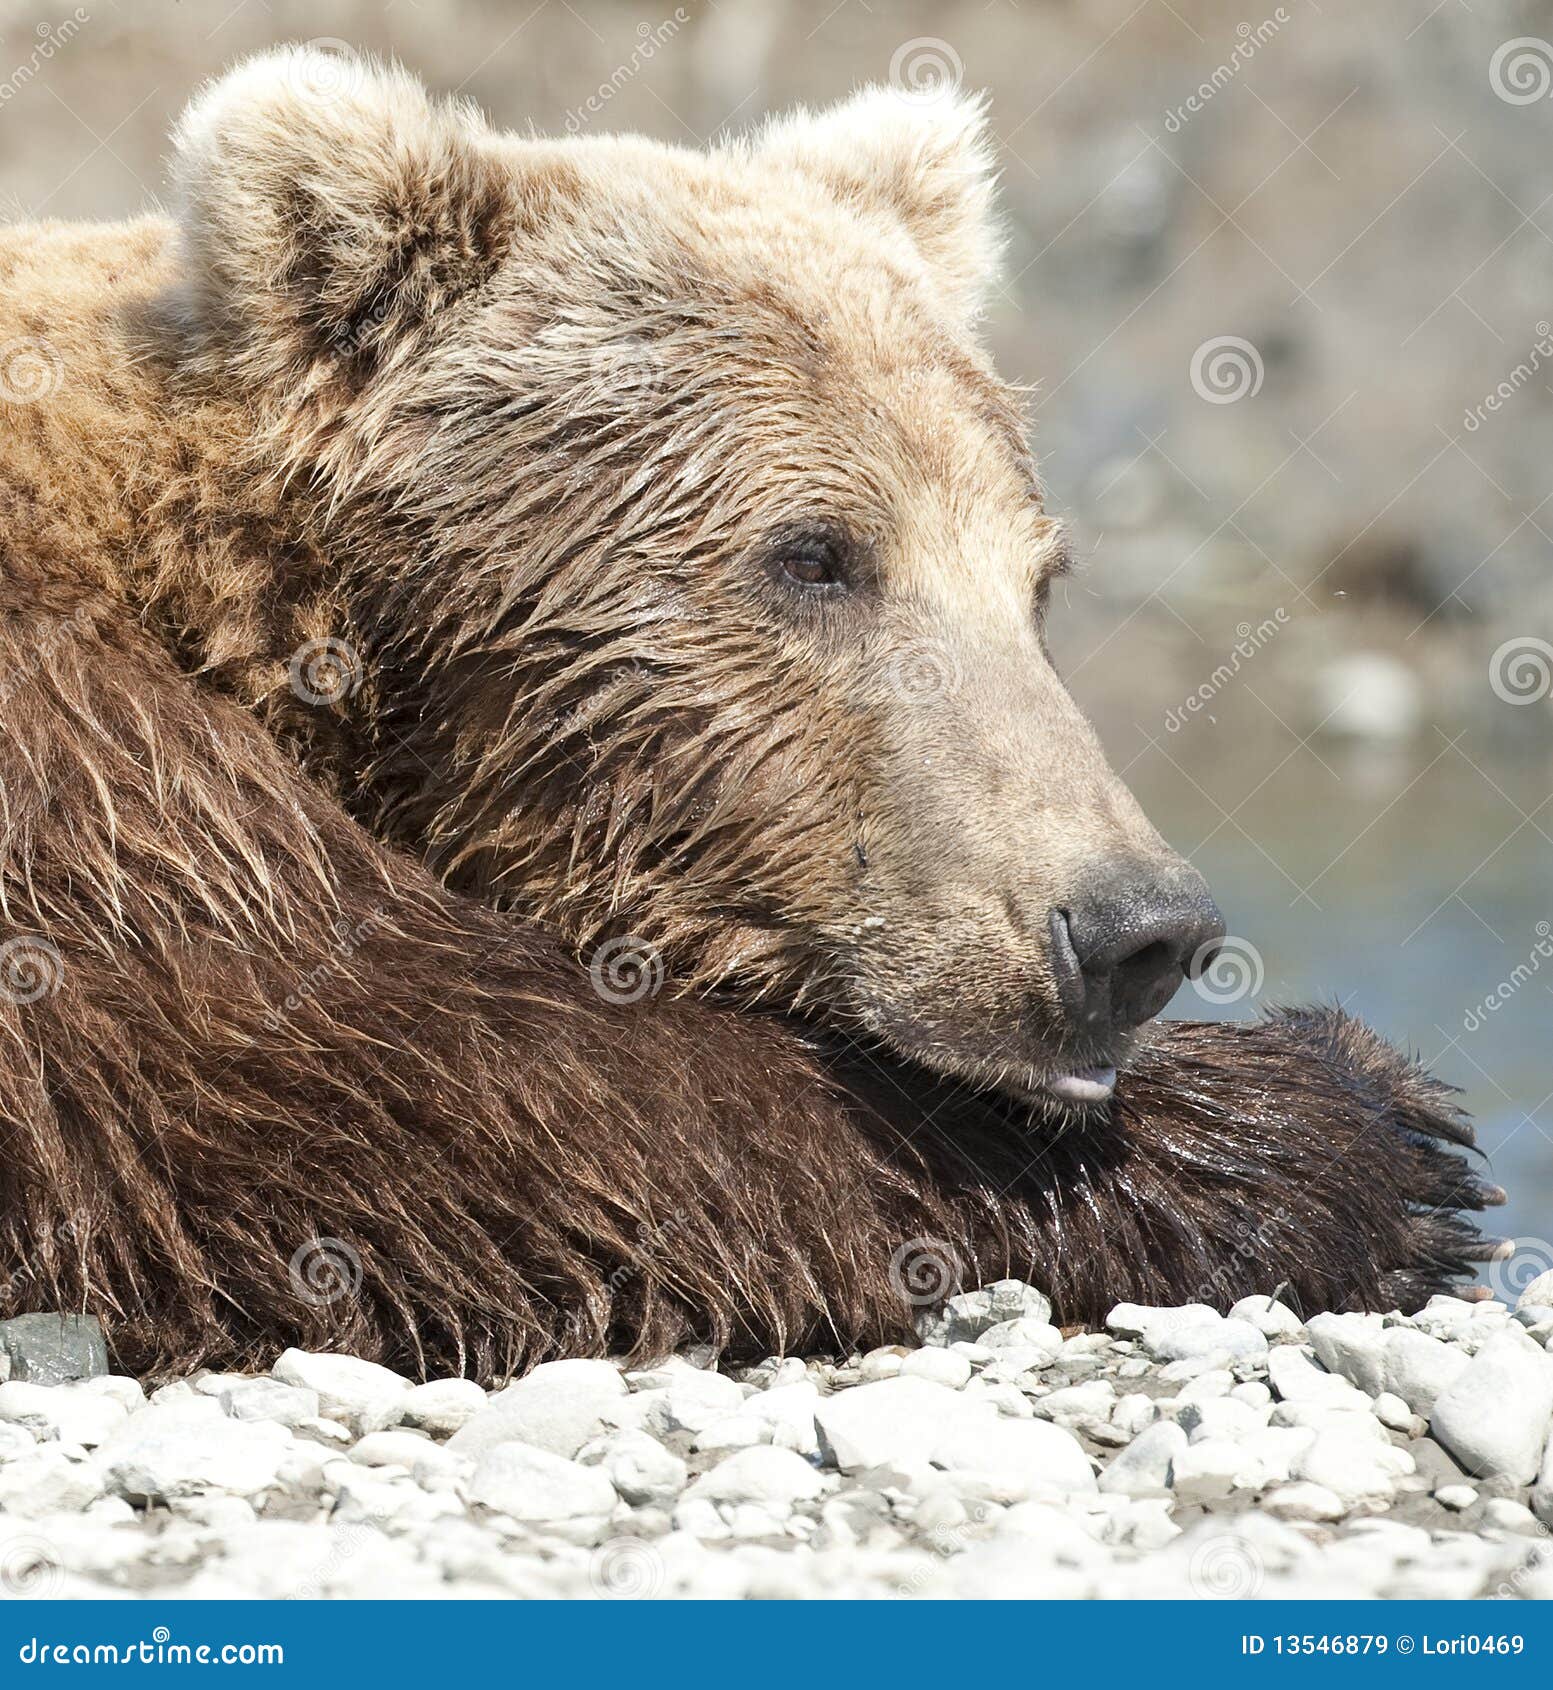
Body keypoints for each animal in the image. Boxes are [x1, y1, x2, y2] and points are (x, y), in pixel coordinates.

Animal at [0, 47, 1501, 1378]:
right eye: (816, 556)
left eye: (1037, 579)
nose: (1135, 928)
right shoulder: (84, 790)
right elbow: (399, 1102)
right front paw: (1356, 1127)